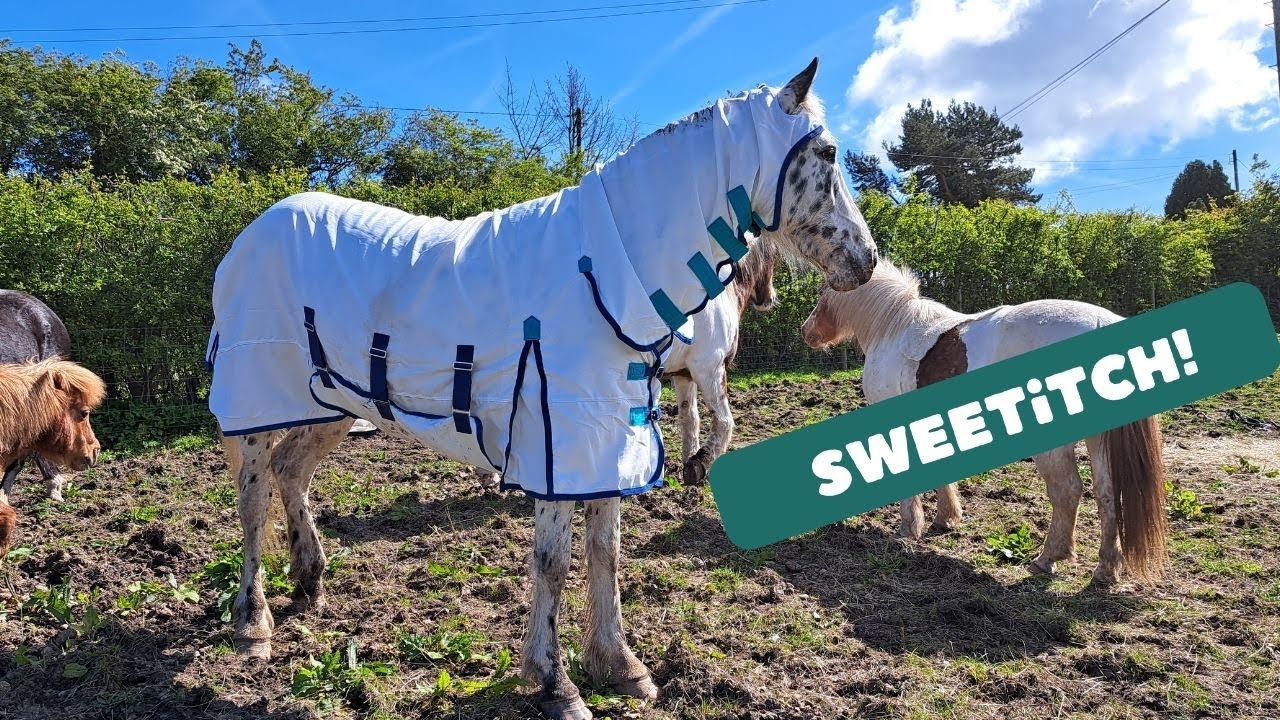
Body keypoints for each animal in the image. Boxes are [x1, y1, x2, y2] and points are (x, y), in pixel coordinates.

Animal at [666, 235, 780, 485]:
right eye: (772, 255)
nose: (769, 299)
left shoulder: (683, 374)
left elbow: (689, 418)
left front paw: (689, 459)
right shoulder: (709, 369)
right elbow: (724, 420)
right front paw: (699, 464)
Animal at [800, 258, 1167, 585]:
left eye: (821, 291)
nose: (807, 332)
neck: (893, 328)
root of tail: (1102, 323)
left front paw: (907, 530)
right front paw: (946, 520)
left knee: (1067, 491)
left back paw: (1047, 559)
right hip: (1099, 440)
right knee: (1107, 494)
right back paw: (1105, 571)